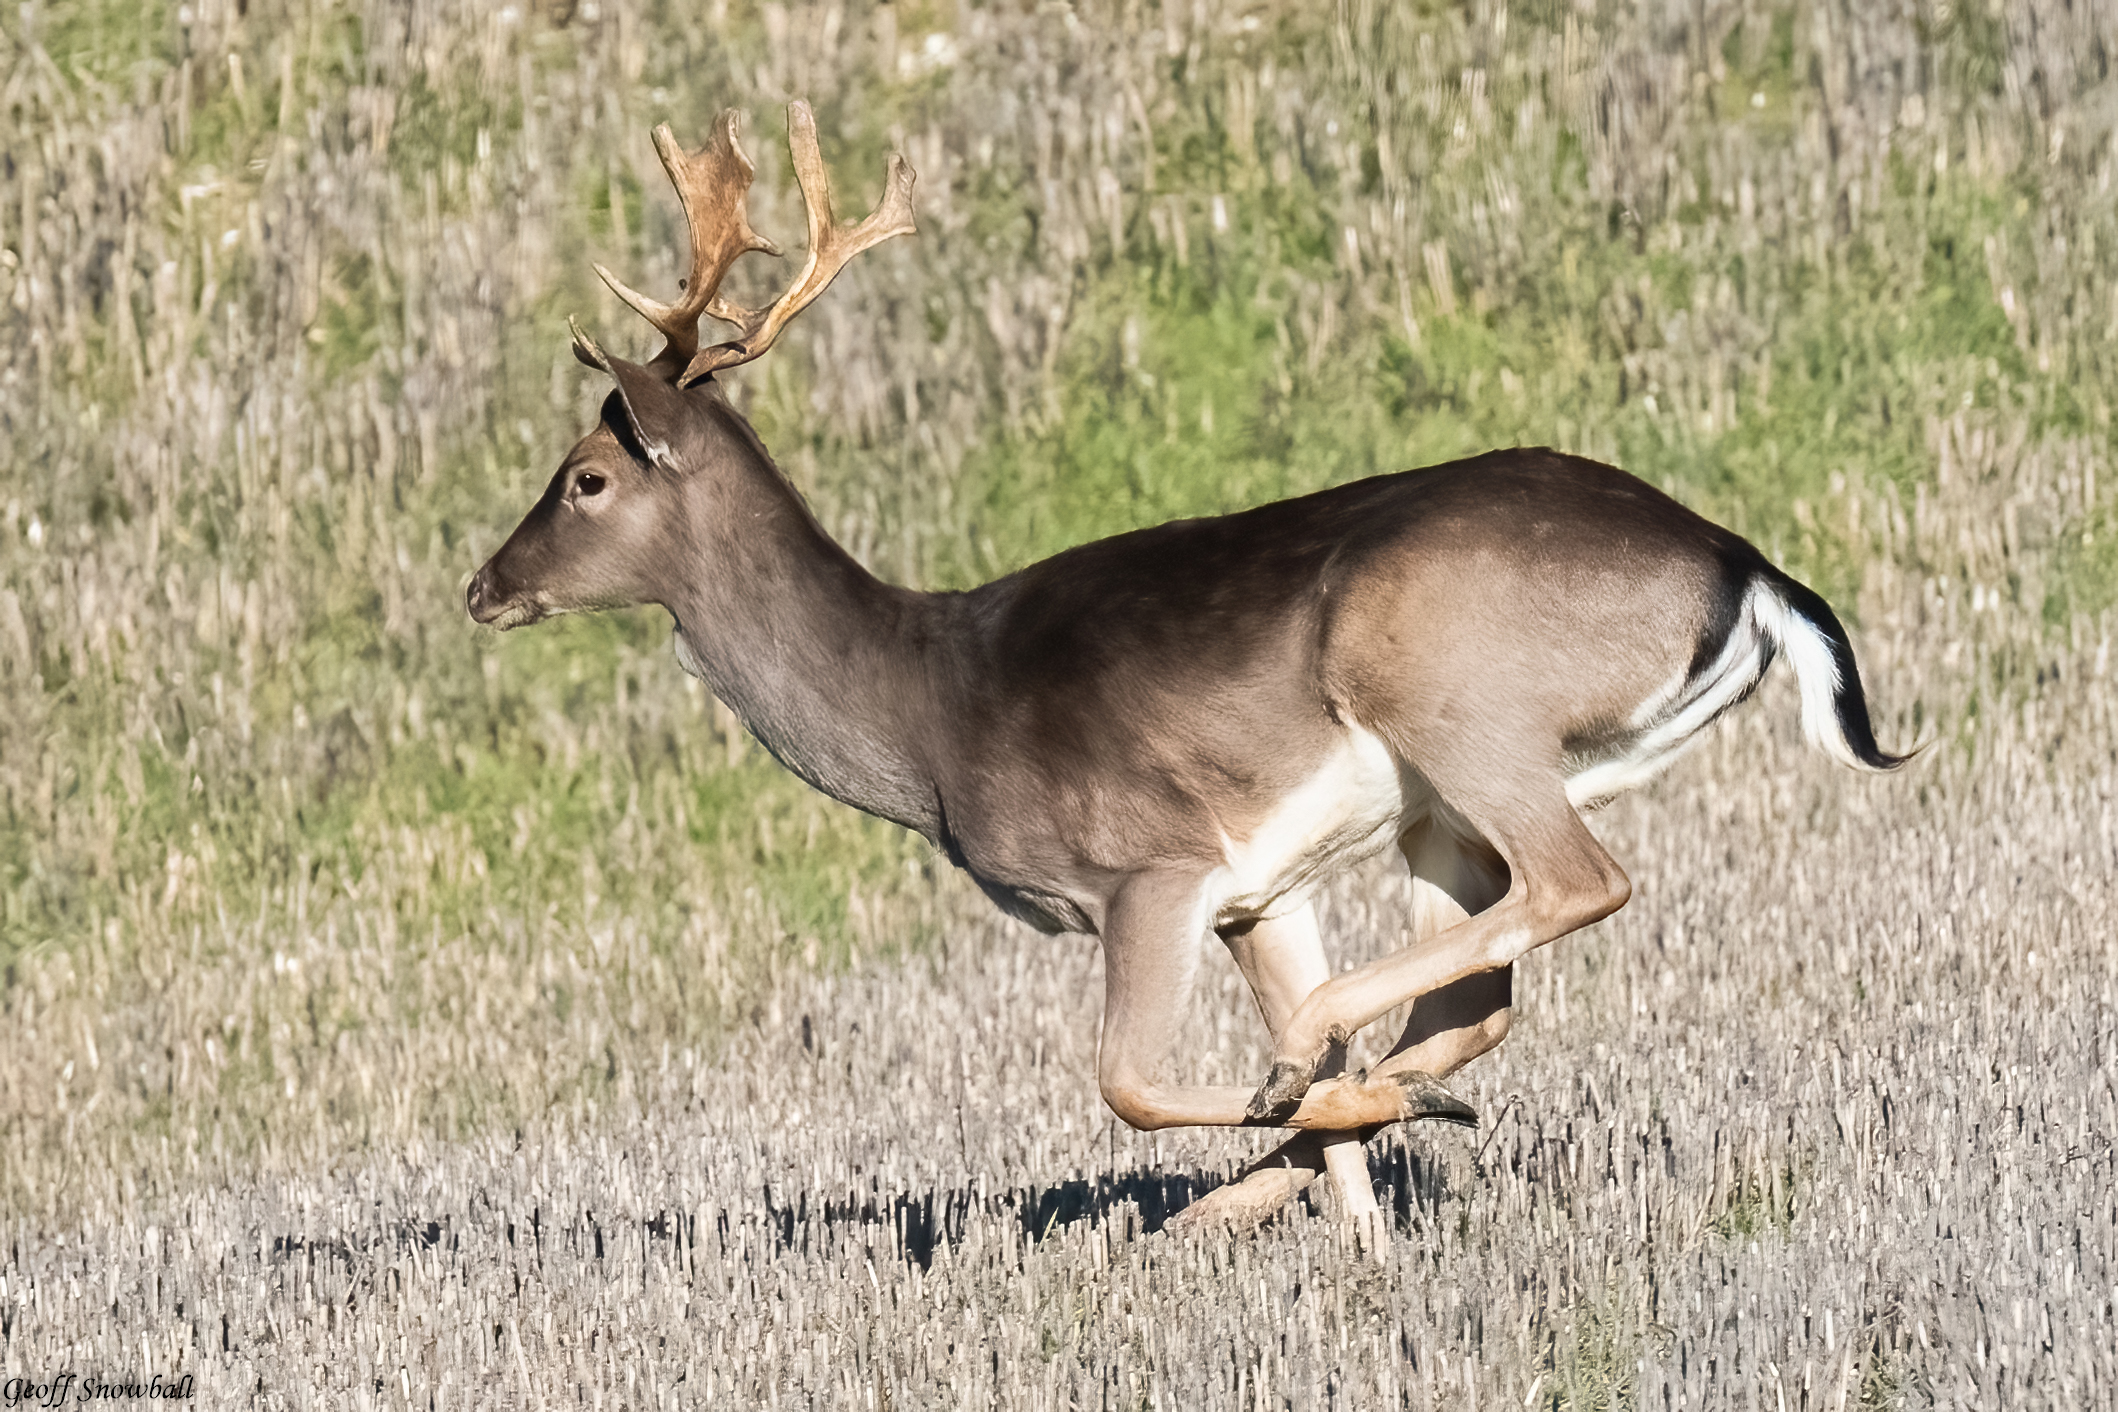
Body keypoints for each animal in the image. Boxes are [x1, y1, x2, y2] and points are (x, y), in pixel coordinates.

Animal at [466, 101, 1908, 1233]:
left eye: (583, 478)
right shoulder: (1254, 891)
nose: (484, 585)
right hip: (1437, 811)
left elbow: (1124, 1083)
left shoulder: (1148, 867)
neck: (929, 718)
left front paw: (1288, 1113)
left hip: (1450, 695)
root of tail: (1746, 570)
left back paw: (1315, 1068)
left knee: (1574, 886)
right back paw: (1343, 1099)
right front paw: (1343, 1230)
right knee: (1481, 983)